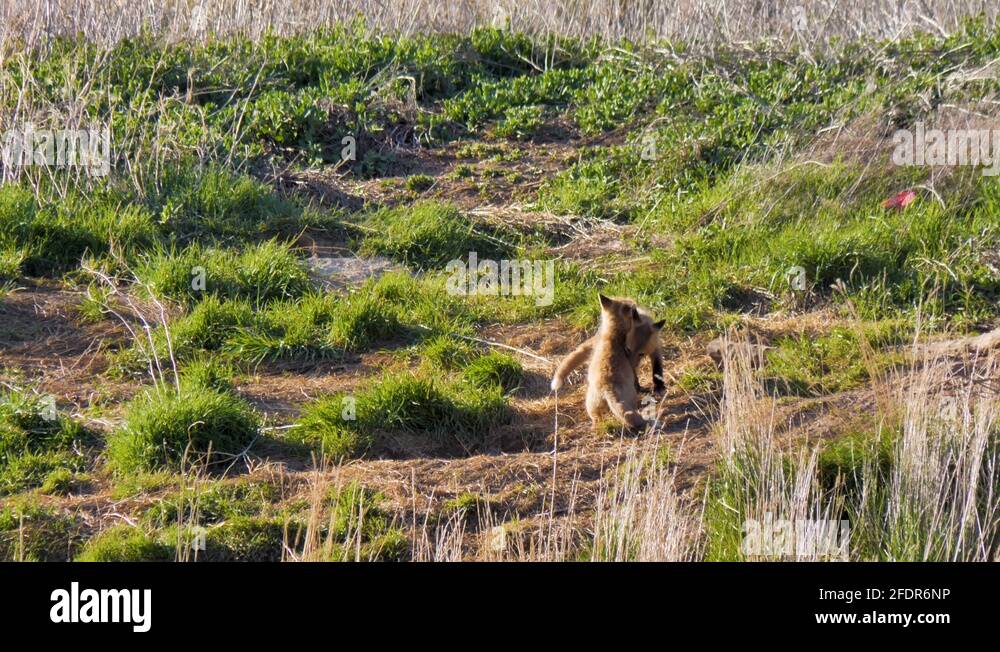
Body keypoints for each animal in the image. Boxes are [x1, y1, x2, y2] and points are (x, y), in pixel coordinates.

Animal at [584, 295, 646, 432]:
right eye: (633, 309)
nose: (637, 302)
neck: (611, 335)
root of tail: (607, 387)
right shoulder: (632, 363)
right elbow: (636, 377)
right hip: (630, 396)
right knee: (631, 408)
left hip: (591, 405)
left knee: (596, 418)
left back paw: (596, 427)